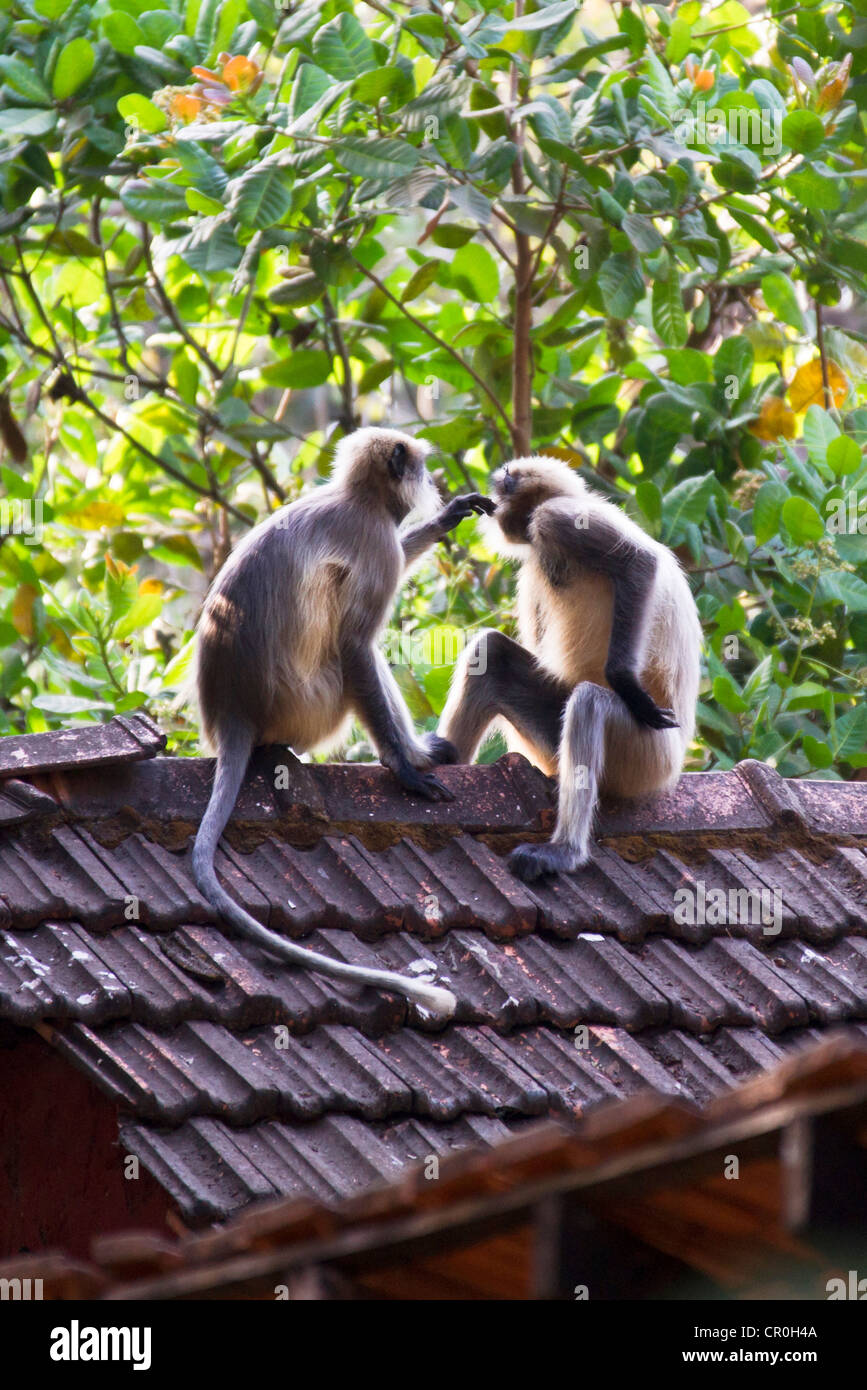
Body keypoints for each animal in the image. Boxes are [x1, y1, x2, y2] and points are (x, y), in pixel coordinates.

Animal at [192, 427, 493, 1021]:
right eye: (419, 467)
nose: (433, 483)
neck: (358, 500)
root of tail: (232, 712)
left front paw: (447, 519)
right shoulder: (376, 545)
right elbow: (356, 644)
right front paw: (405, 771)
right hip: (312, 703)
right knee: (354, 652)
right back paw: (417, 756)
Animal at [438, 456, 702, 882]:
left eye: (504, 481)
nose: (494, 491)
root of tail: (675, 766)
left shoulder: (555, 518)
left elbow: (639, 563)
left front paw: (628, 685)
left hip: (648, 756)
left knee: (589, 702)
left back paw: (564, 852)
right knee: (493, 654)